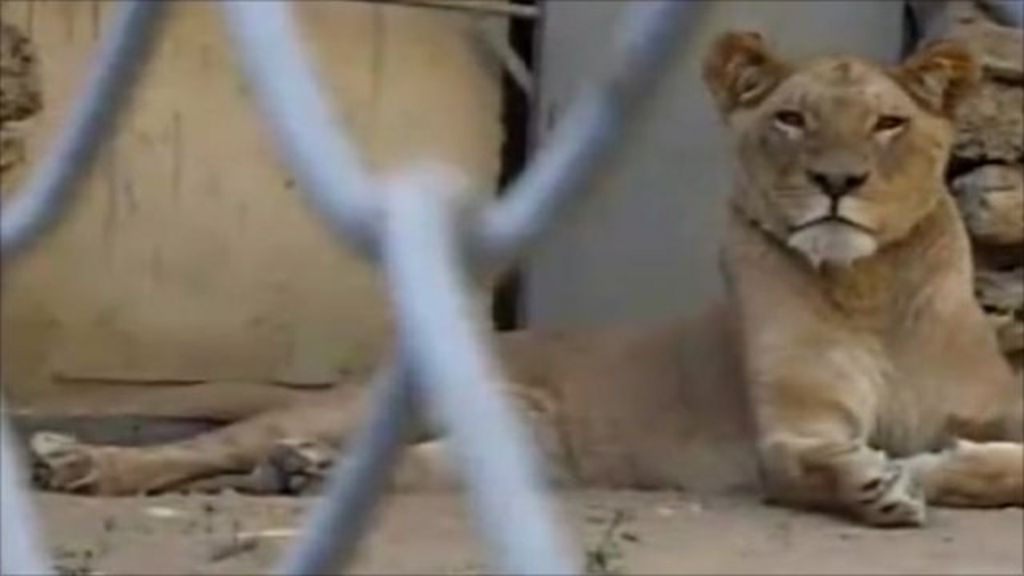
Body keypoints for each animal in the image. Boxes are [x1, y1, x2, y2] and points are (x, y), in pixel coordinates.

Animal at [26, 32, 1022, 528]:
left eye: (888, 124)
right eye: (791, 119)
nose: (837, 181)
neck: (869, 291)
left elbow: (999, 467)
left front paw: (930, 469)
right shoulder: (789, 433)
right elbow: (815, 460)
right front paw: (877, 482)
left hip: (504, 452)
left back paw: (299, 474)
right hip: (359, 408)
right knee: (211, 446)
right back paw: (87, 463)